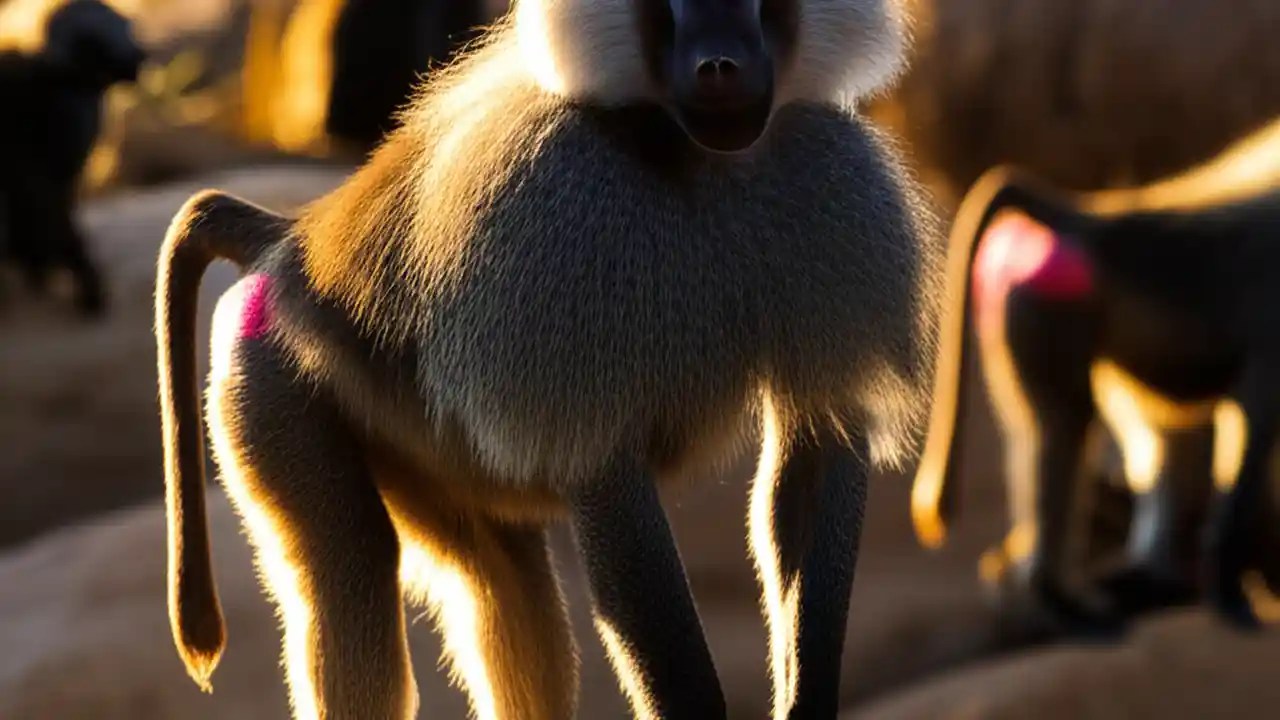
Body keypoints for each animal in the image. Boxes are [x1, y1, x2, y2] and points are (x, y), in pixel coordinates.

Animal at [154, 1, 942, 718]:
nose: (719, 64)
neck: (695, 158)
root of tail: (289, 241)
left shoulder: (837, 180)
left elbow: (813, 458)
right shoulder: (554, 224)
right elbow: (610, 490)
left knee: (504, 581)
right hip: (270, 376)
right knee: (349, 576)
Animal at [909, 120, 1280, 633]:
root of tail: (1083, 218)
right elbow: (1251, 437)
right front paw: (1236, 600)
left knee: (1116, 439)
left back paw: (1142, 581)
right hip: (1048, 309)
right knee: (1065, 428)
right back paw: (1066, 603)